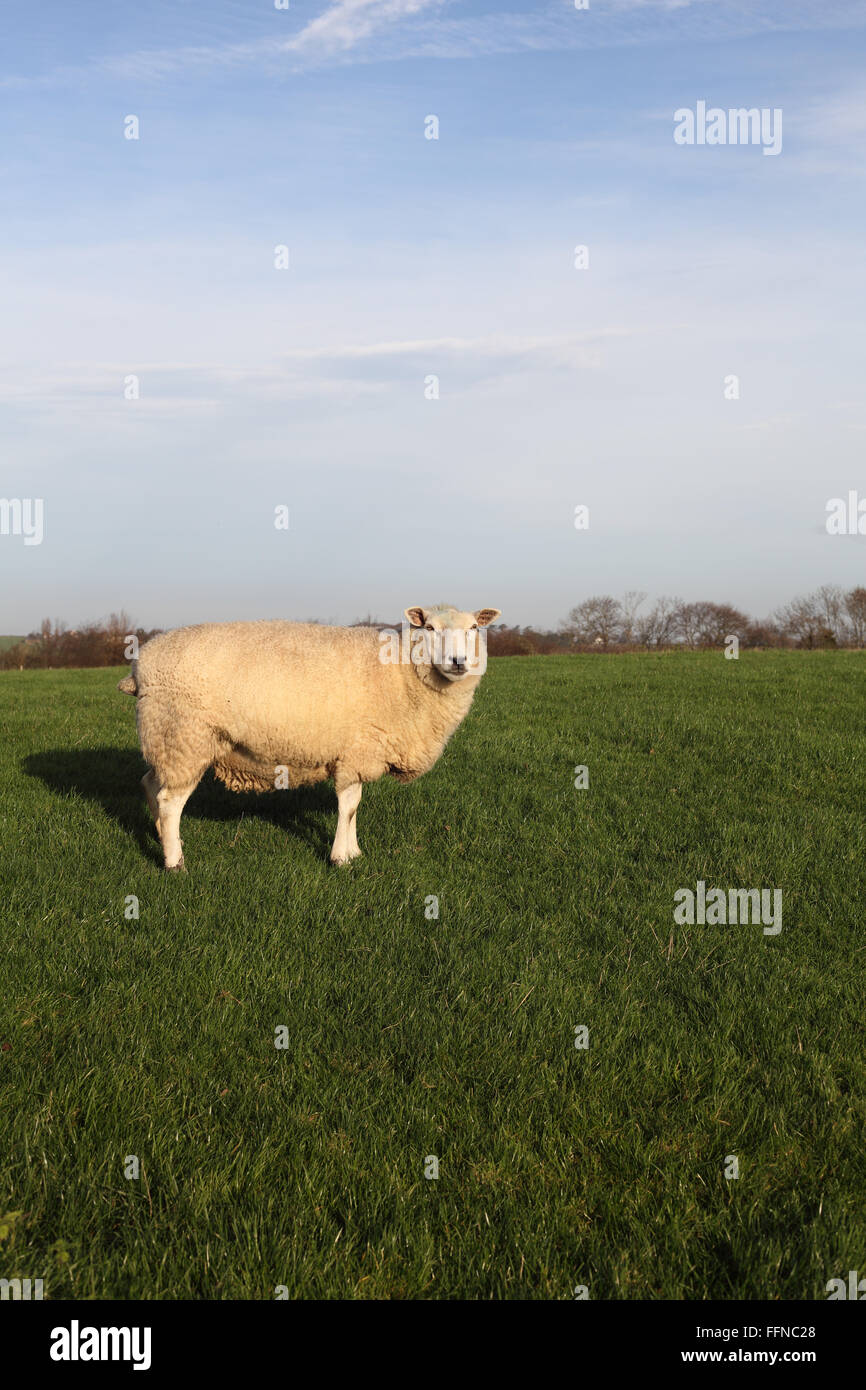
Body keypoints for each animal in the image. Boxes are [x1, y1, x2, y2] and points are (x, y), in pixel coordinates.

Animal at [117, 603, 500, 871]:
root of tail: (141, 664)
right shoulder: (355, 751)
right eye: (430, 627)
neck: (403, 674)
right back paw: (175, 862)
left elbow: (355, 806)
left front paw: (355, 852)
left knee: (150, 784)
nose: (458, 661)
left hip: (165, 738)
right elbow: (349, 806)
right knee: (170, 801)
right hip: (185, 737)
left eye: (473, 628)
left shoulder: (356, 753)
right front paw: (340, 858)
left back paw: (160, 837)